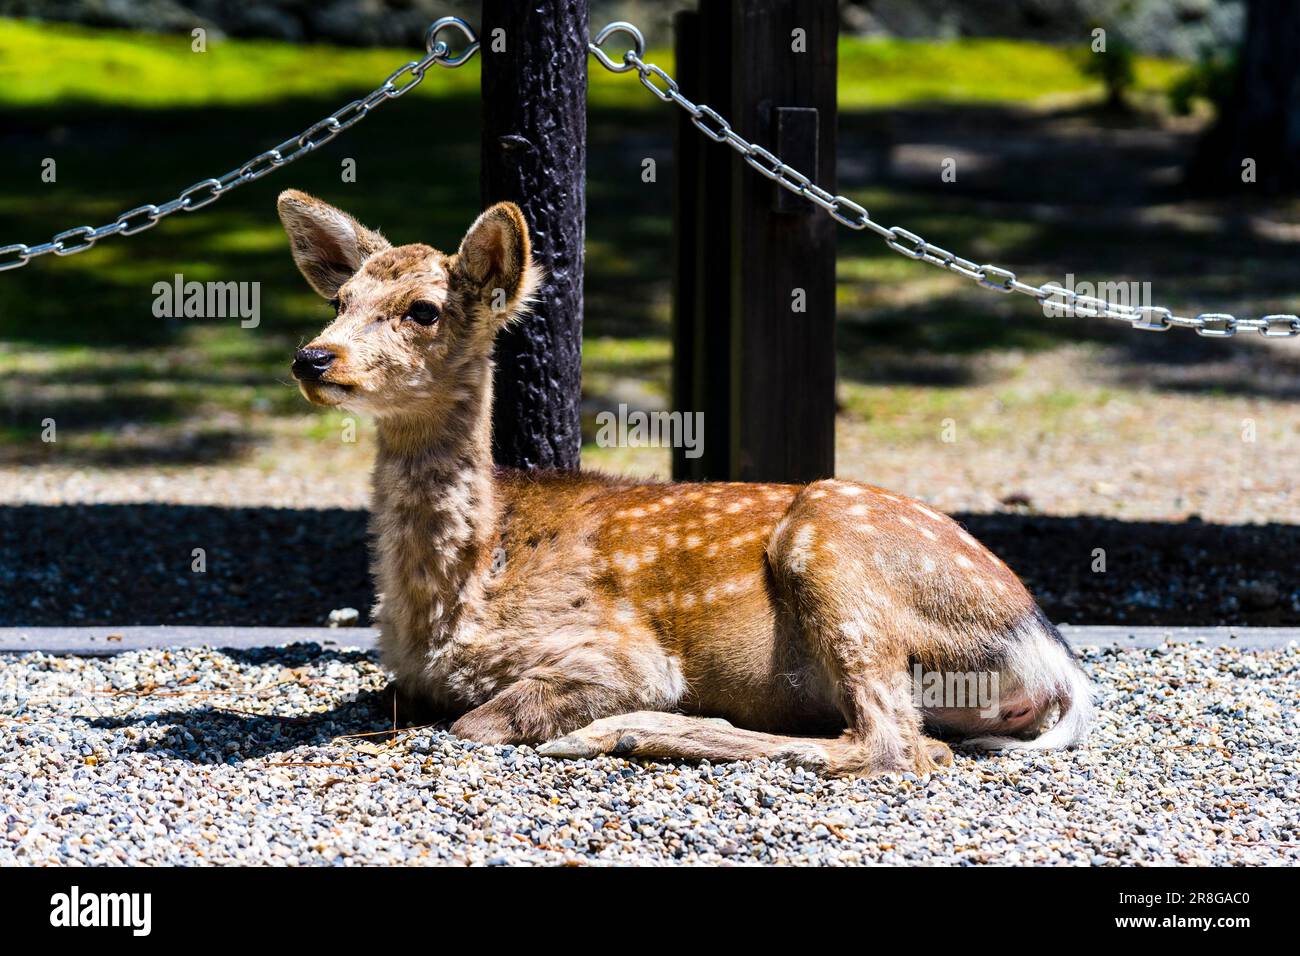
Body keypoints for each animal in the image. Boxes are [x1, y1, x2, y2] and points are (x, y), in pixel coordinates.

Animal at [278, 189, 1094, 777]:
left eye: (424, 310)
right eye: (340, 302)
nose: (312, 357)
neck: (461, 593)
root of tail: (1053, 664)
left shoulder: (615, 650)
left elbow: (473, 722)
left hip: (836, 551)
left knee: (897, 744)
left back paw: (620, 735)